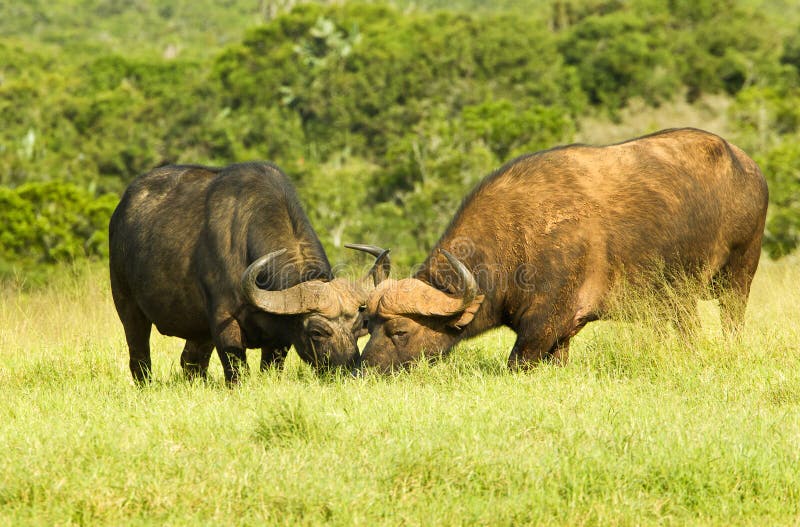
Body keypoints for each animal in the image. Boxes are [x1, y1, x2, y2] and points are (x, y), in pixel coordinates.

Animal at [109, 161, 387, 383]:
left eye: (357, 328)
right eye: (316, 332)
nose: (347, 371)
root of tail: (120, 212)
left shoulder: (278, 338)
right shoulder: (224, 322)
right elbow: (236, 371)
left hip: (199, 329)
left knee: (191, 362)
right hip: (127, 306)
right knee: (140, 356)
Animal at [360, 128, 769, 371]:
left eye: (399, 330)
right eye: (369, 325)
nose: (365, 369)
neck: (516, 236)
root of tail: (749, 166)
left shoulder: (544, 325)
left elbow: (516, 362)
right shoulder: (562, 333)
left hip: (739, 277)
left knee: (732, 320)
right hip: (678, 297)